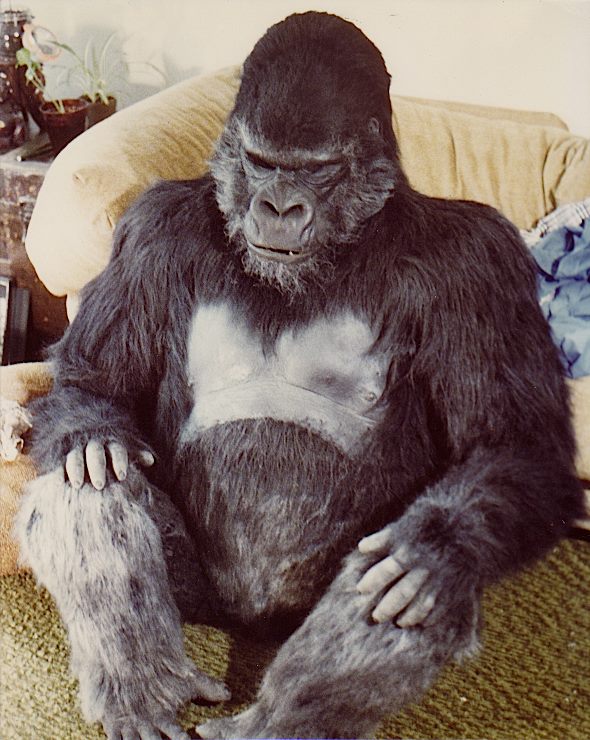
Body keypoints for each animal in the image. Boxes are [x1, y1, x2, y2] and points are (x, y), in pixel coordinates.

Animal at [15, 11, 583, 740]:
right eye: (263, 164)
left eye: (320, 171)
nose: (279, 207)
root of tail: (245, 624)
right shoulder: (151, 228)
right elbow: (98, 384)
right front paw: (93, 433)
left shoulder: (481, 264)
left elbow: (515, 442)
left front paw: (437, 546)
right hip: (196, 601)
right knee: (88, 478)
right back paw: (141, 686)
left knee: (411, 584)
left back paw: (277, 715)